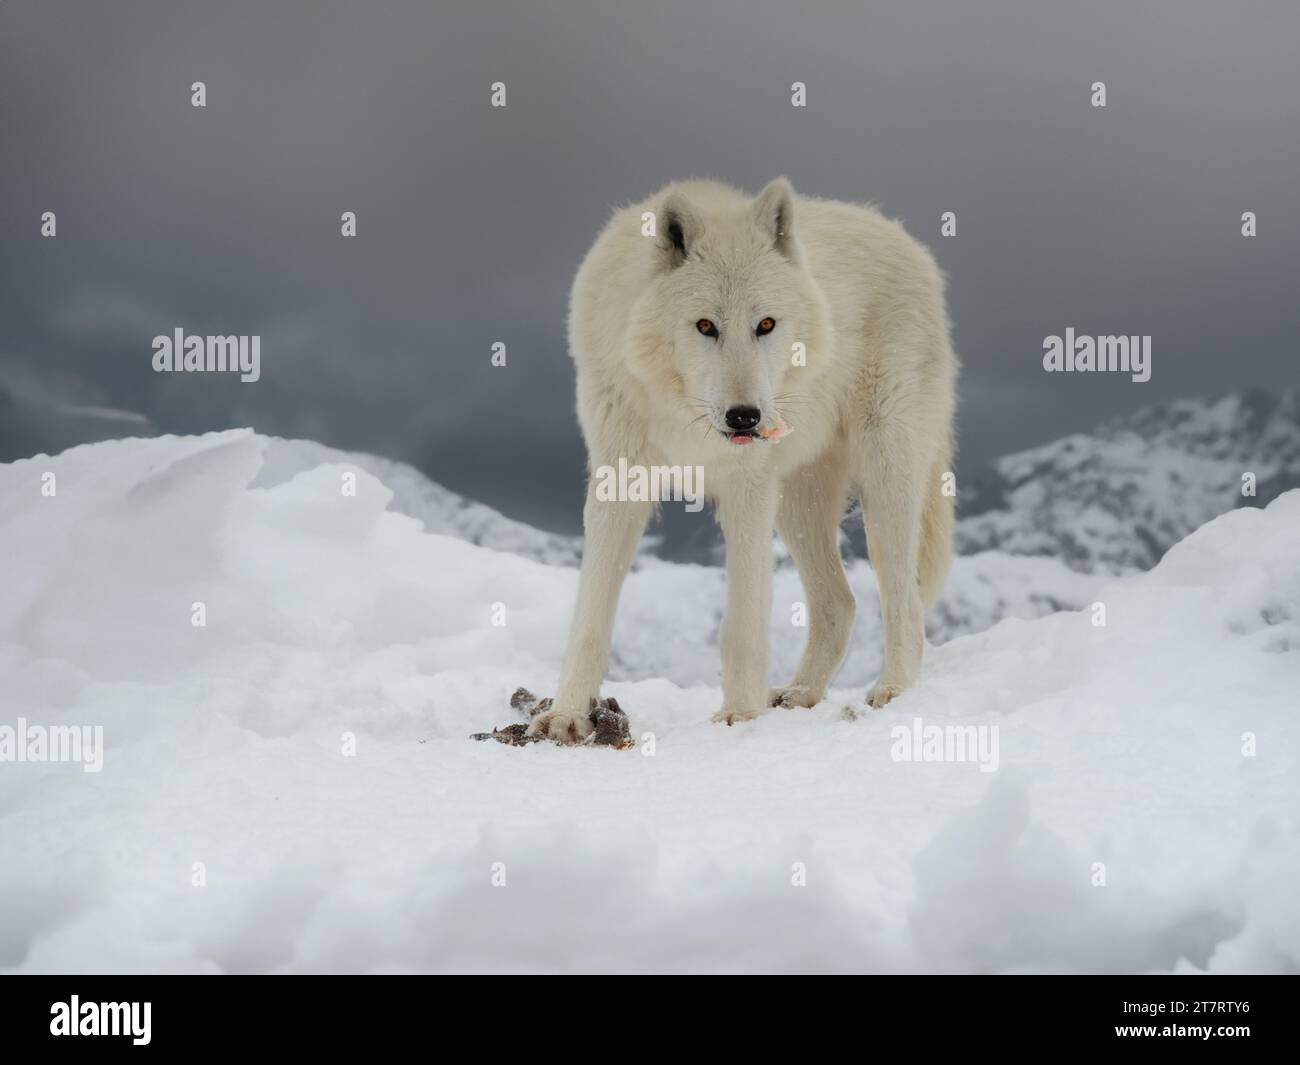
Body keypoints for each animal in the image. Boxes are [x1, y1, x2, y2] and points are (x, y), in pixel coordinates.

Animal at [530, 177, 958, 742]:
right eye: (705, 325)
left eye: (766, 324)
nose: (745, 417)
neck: (685, 411)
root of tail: (914, 248)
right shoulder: (618, 482)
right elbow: (590, 617)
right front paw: (566, 716)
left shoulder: (746, 488)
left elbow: (742, 620)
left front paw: (741, 716)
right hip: (797, 505)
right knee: (840, 603)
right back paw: (798, 695)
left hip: (884, 477)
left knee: (904, 599)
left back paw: (893, 691)